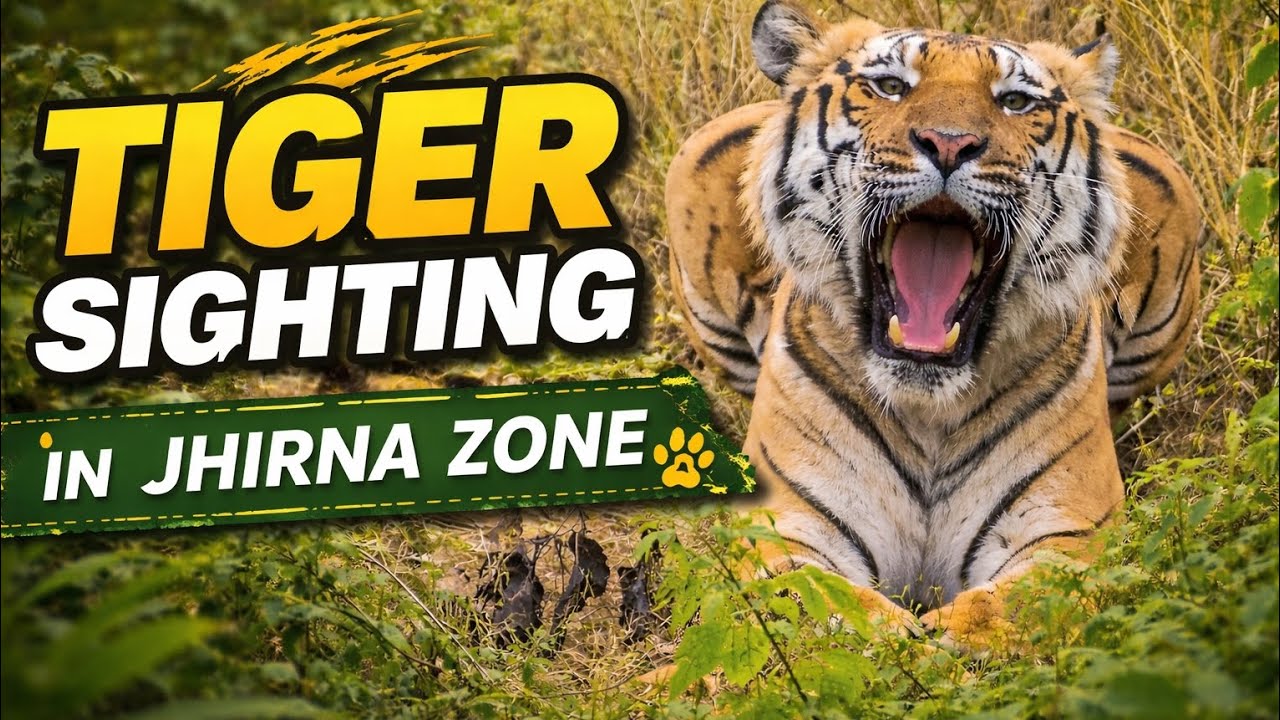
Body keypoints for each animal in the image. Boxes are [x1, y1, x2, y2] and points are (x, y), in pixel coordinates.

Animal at [665, 0, 1201, 645]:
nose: (950, 143)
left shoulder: (1065, 529)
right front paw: (898, 643)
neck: (928, 414)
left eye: (1014, 101)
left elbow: (1011, 608)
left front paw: (945, 646)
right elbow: (828, 610)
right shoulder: (786, 526)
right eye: (891, 86)